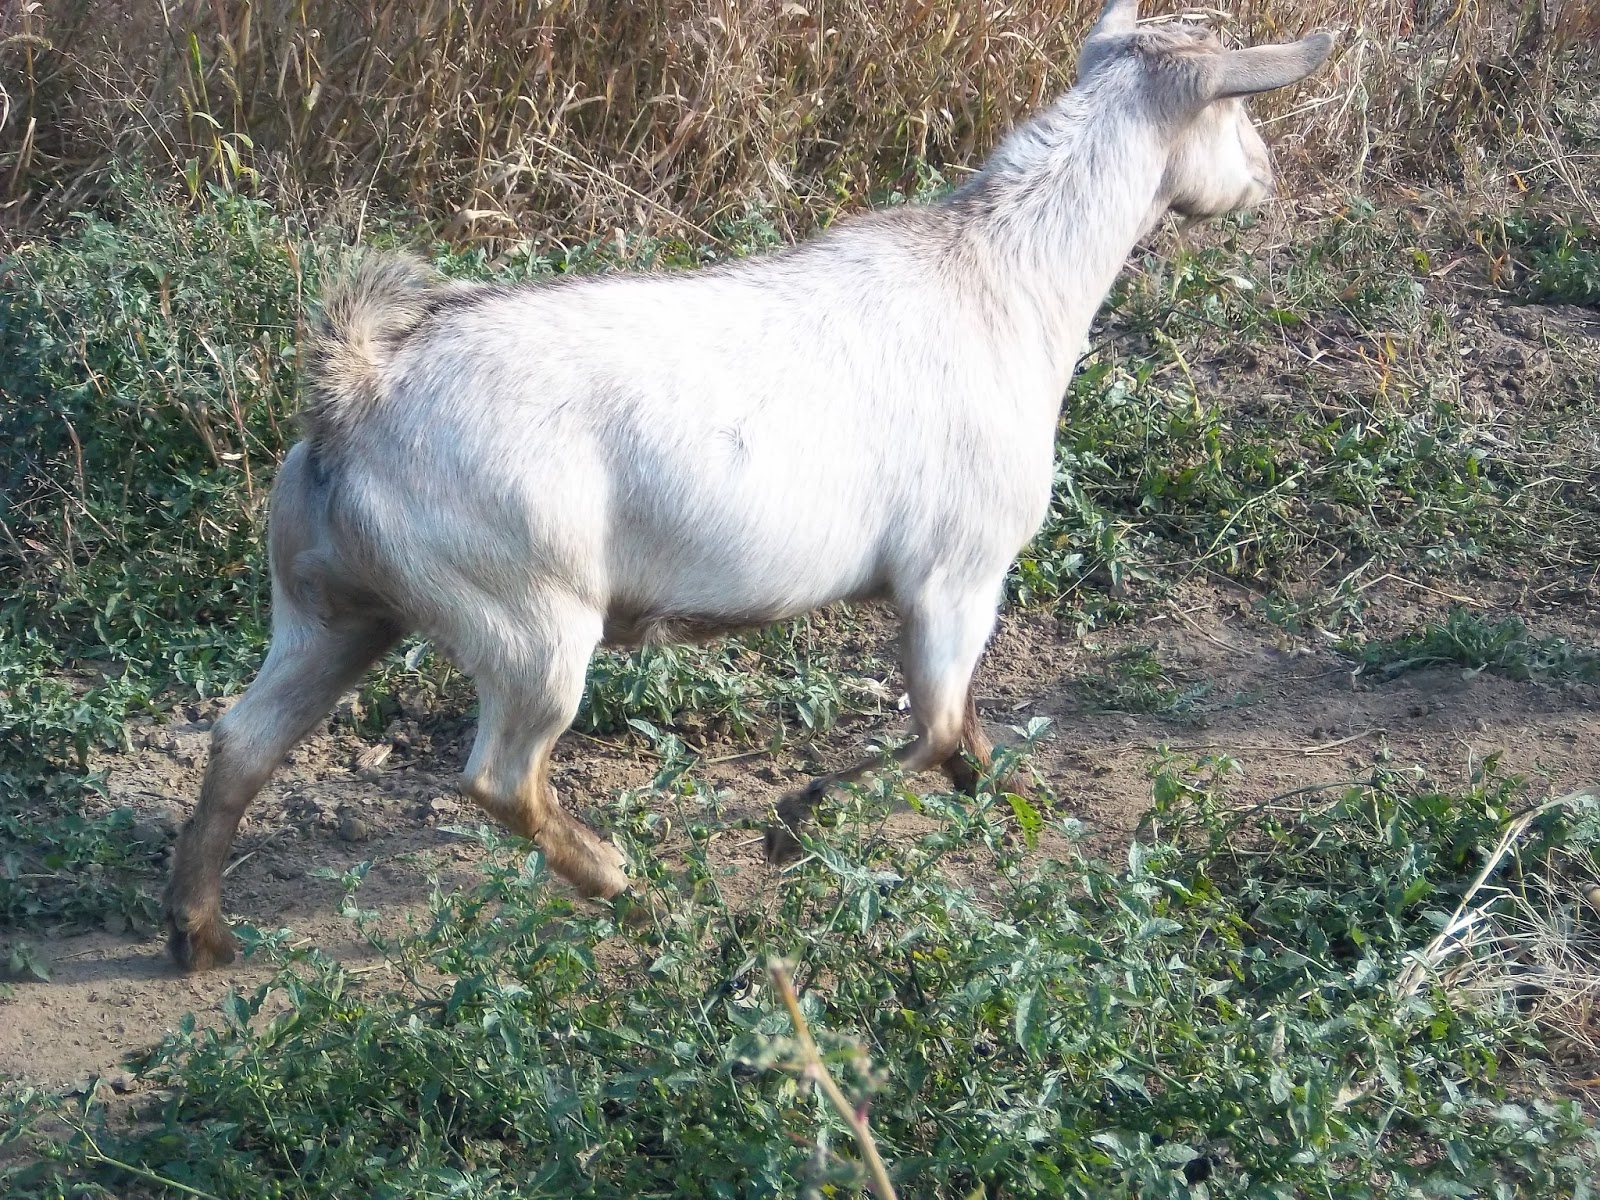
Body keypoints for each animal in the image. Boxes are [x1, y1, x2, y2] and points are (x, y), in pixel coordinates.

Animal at [165, 0, 1334, 971]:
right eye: (1238, 109)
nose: (1269, 173)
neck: (1009, 272)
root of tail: (359, 388)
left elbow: (959, 733)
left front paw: (987, 793)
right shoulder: (958, 570)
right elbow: (936, 727)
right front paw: (797, 822)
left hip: (332, 607)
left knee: (244, 738)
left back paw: (200, 933)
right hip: (526, 615)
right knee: (499, 774)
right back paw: (618, 881)